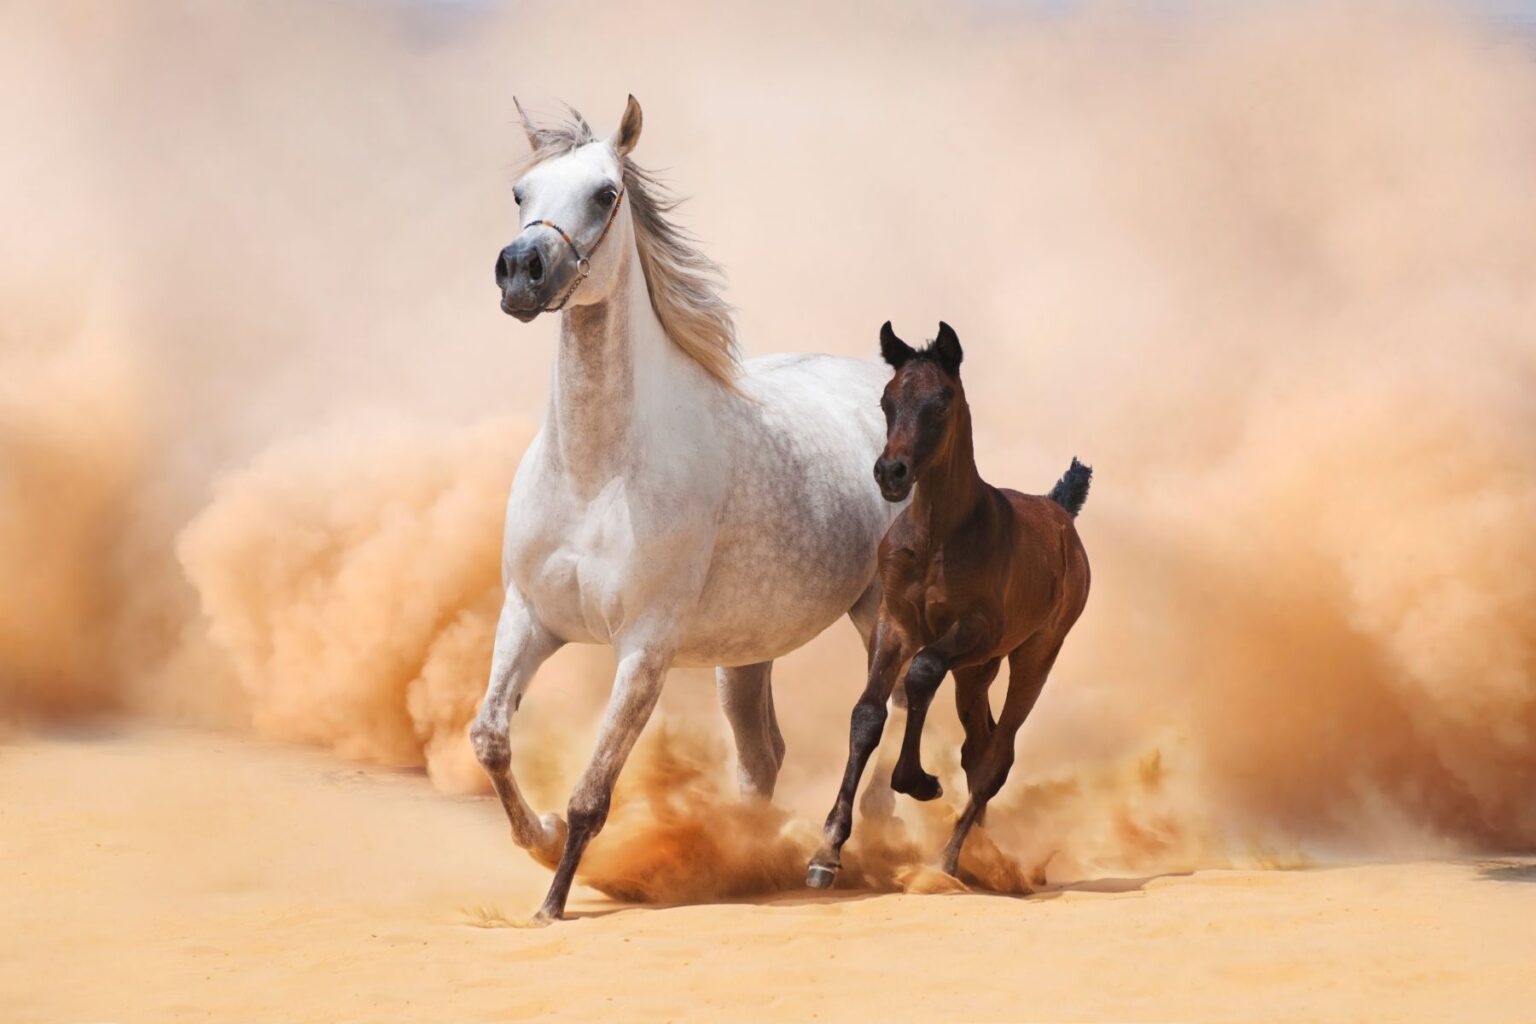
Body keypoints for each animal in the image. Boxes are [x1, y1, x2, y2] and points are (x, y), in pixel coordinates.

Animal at [475, 96, 899, 923]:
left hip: (879, 615)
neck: (596, 475)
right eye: (519, 192)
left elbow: (592, 793)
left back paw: (849, 850)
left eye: (605, 192)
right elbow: (491, 740)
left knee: (886, 720)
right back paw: (747, 861)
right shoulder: (529, 617)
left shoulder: (645, 648)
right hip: (747, 651)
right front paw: (538, 839)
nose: (521, 273)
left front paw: (552, 903)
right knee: (763, 757)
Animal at [806, 321, 1092, 888]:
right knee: (977, 746)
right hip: (977, 672)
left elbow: (920, 673)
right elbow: (867, 715)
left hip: (1033, 654)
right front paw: (826, 851)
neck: (938, 535)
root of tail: (1060, 511)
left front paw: (918, 781)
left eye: (941, 399)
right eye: (887, 399)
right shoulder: (893, 623)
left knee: (997, 756)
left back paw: (948, 860)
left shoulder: (973, 629)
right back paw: (980, 851)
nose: (890, 472)